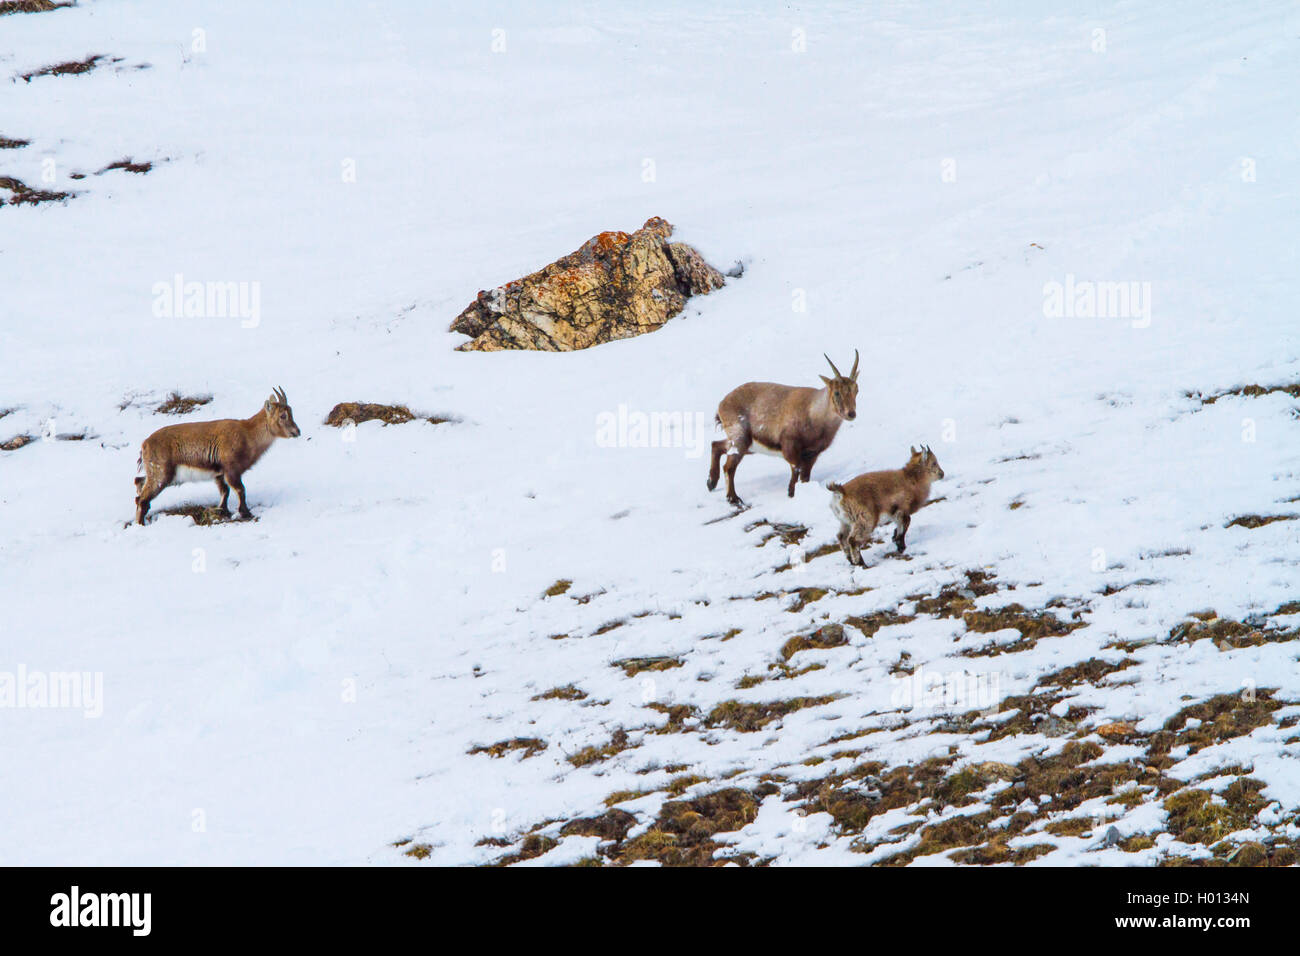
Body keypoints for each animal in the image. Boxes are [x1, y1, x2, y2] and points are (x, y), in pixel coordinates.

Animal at [134, 387, 301, 525]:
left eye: (291, 412)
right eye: (283, 415)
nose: (297, 431)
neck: (248, 434)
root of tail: (145, 444)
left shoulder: (219, 473)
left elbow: (224, 492)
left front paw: (223, 511)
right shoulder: (231, 469)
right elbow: (240, 490)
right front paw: (245, 513)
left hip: (160, 475)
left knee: (139, 483)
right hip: (161, 474)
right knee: (142, 499)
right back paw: (141, 524)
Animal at [707, 351, 859, 506]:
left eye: (856, 390)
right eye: (837, 392)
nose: (851, 413)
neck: (815, 415)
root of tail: (722, 404)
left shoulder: (812, 454)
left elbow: (805, 477)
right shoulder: (790, 446)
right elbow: (796, 470)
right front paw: (791, 493)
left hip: (748, 445)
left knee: (716, 445)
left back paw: (711, 483)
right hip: (740, 438)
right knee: (728, 467)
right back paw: (733, 498)